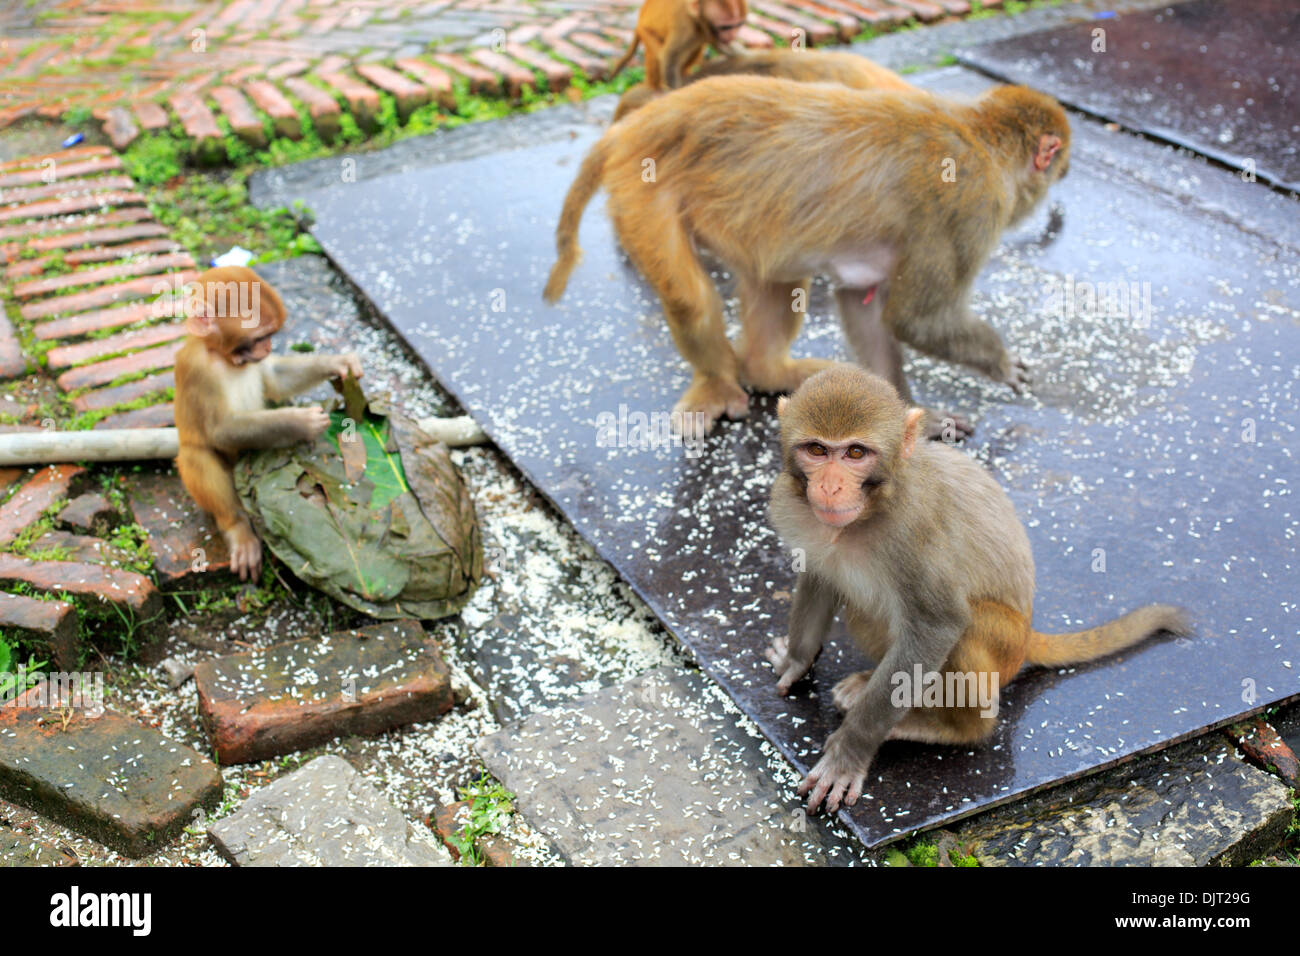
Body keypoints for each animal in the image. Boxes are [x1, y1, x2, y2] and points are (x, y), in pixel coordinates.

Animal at [173, 266, 362, 581]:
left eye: (271, 336)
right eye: (259, 336)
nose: (269, 345)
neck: (224, 359)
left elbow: (275, 379)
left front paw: (340, 362)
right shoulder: (197, 370)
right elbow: (221, 431)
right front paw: (300, 422)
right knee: (196, 456)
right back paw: (238, 528)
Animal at [544, 76, 1071, 439]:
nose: (1054, 188)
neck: (982, 136)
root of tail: (633, 124)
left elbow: (866, 309)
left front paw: (908, 420)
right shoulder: (970, 207)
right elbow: (917, 318)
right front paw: (1001, 364)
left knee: (778, 276)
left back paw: (771, 372)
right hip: (640, 189)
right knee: (689, 299)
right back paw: (718, 384)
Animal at [610, 0, 748, 91]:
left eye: (738, 25)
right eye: (726, 27)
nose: (732, 36)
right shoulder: (685, 24)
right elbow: (670, 58)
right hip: (645, 32)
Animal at [765, 364, 1190, 813]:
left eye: (855, 454)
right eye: (817, 450)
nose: (829, 487)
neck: (870, 510)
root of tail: (1028, 633)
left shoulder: (912, 529)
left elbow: (939, 624)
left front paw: (849, 753)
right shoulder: (793, 507)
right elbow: (818, 577)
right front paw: (796, 661)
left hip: (1004, 646)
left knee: (968, 630)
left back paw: (949, 728)